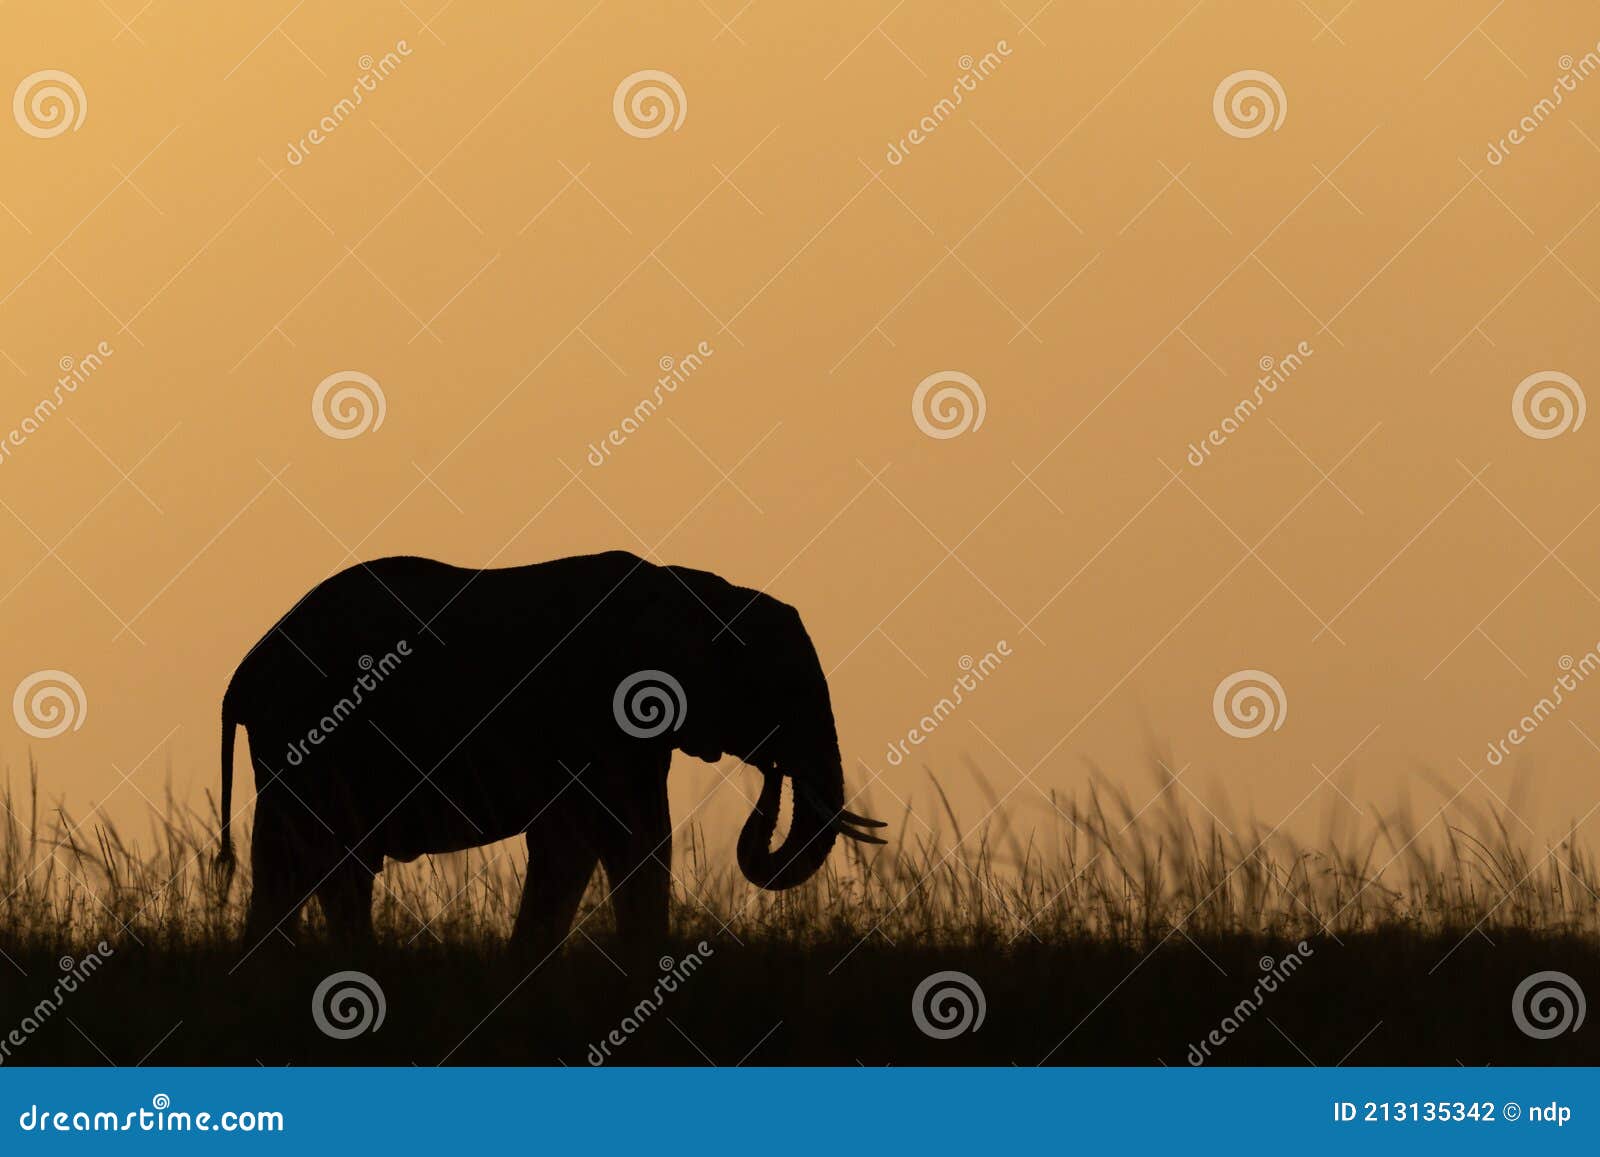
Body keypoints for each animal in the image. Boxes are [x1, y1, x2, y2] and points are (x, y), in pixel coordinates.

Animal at [215, 550, 885, 955]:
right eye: (786, 690)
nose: (774, 772)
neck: (698, 593)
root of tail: (244, 673)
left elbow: (589, 844)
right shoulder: (607, 715)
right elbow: (623, 837)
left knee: (293, 864)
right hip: (312, 731)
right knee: (322, 859)